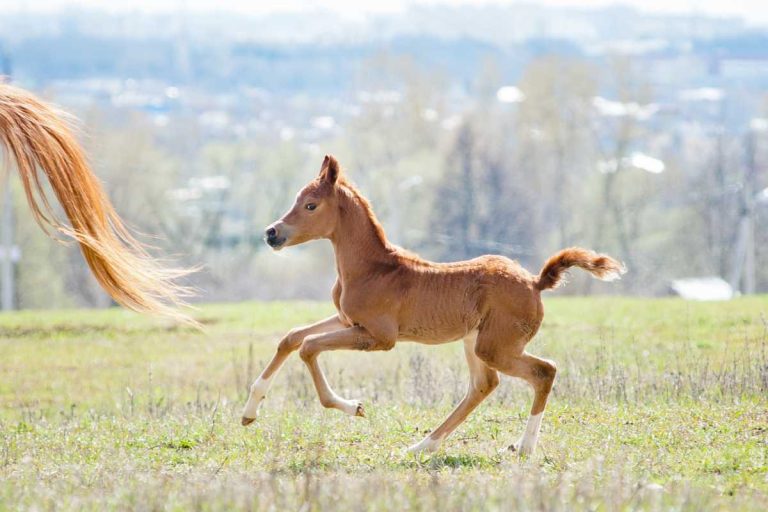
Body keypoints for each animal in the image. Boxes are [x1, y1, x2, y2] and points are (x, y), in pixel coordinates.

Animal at [241, 155, 625, 456]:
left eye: (311, 205)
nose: (272, 234)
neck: (373, 268)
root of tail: (535, 282)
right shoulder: (346, 320)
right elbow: (292, 337)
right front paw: (249, 412)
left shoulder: (379, 337)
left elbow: (309, 346)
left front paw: (354, 407)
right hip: (476, 342)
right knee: (483, 385)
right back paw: (422, 446)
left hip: (496, 346)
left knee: (544, 371)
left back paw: (524, 447)